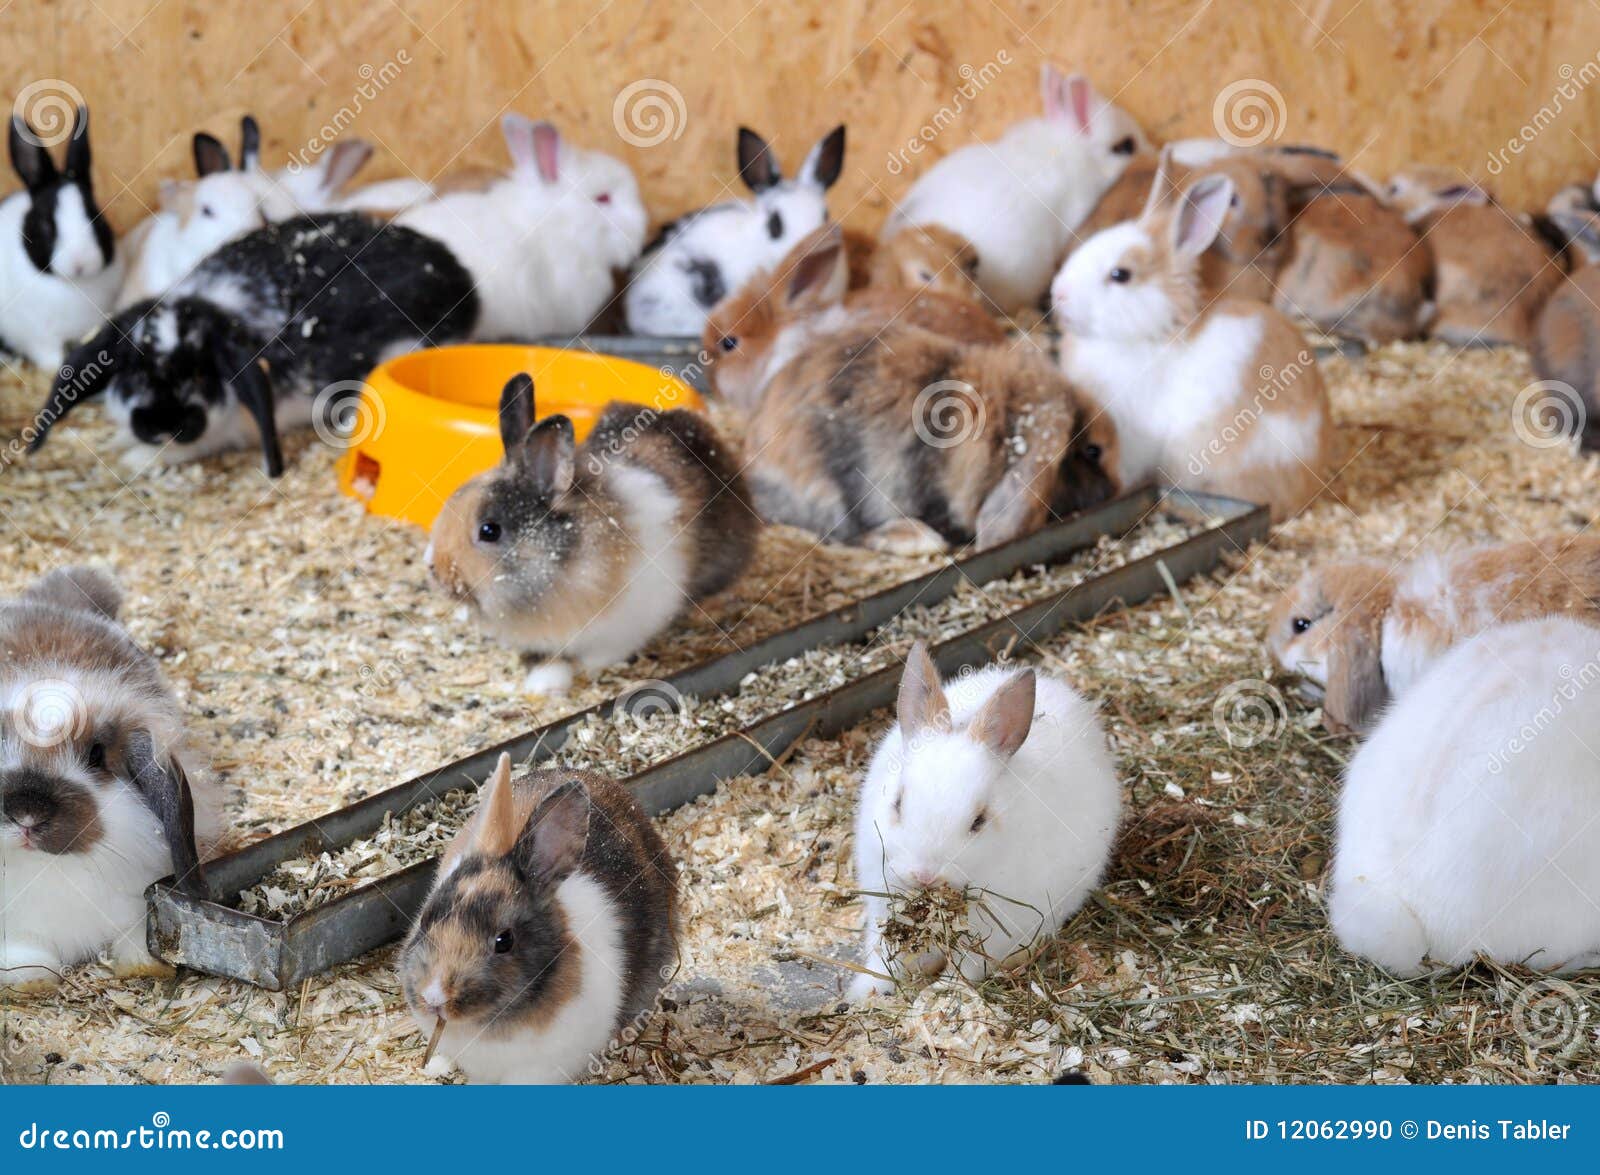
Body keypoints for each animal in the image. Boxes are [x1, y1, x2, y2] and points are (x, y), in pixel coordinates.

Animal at [0, 106, 122, 370]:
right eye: (46, 225)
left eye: (96, 216)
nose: (81, 263)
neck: (74, 285)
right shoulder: (39, 339)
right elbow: (52, 358)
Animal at [28, 212, 478, 476]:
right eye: (132, 372)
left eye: (202, 372)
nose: (164, 423)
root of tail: (460, 280)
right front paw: (121, 441)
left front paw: (138, 459)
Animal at [427, 373, 759, 695]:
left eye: (489, 530)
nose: (435, 571)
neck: (564, 569)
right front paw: (543, 683)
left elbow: (604, 653)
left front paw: (587, 669)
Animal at [849, 642, 1121, 1000]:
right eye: (897, 803)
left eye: (979, 821)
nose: (924, 877)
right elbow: (884, 958)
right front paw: (861, 993)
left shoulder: (996, 936)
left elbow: (966, 968)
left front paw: (939, 992)